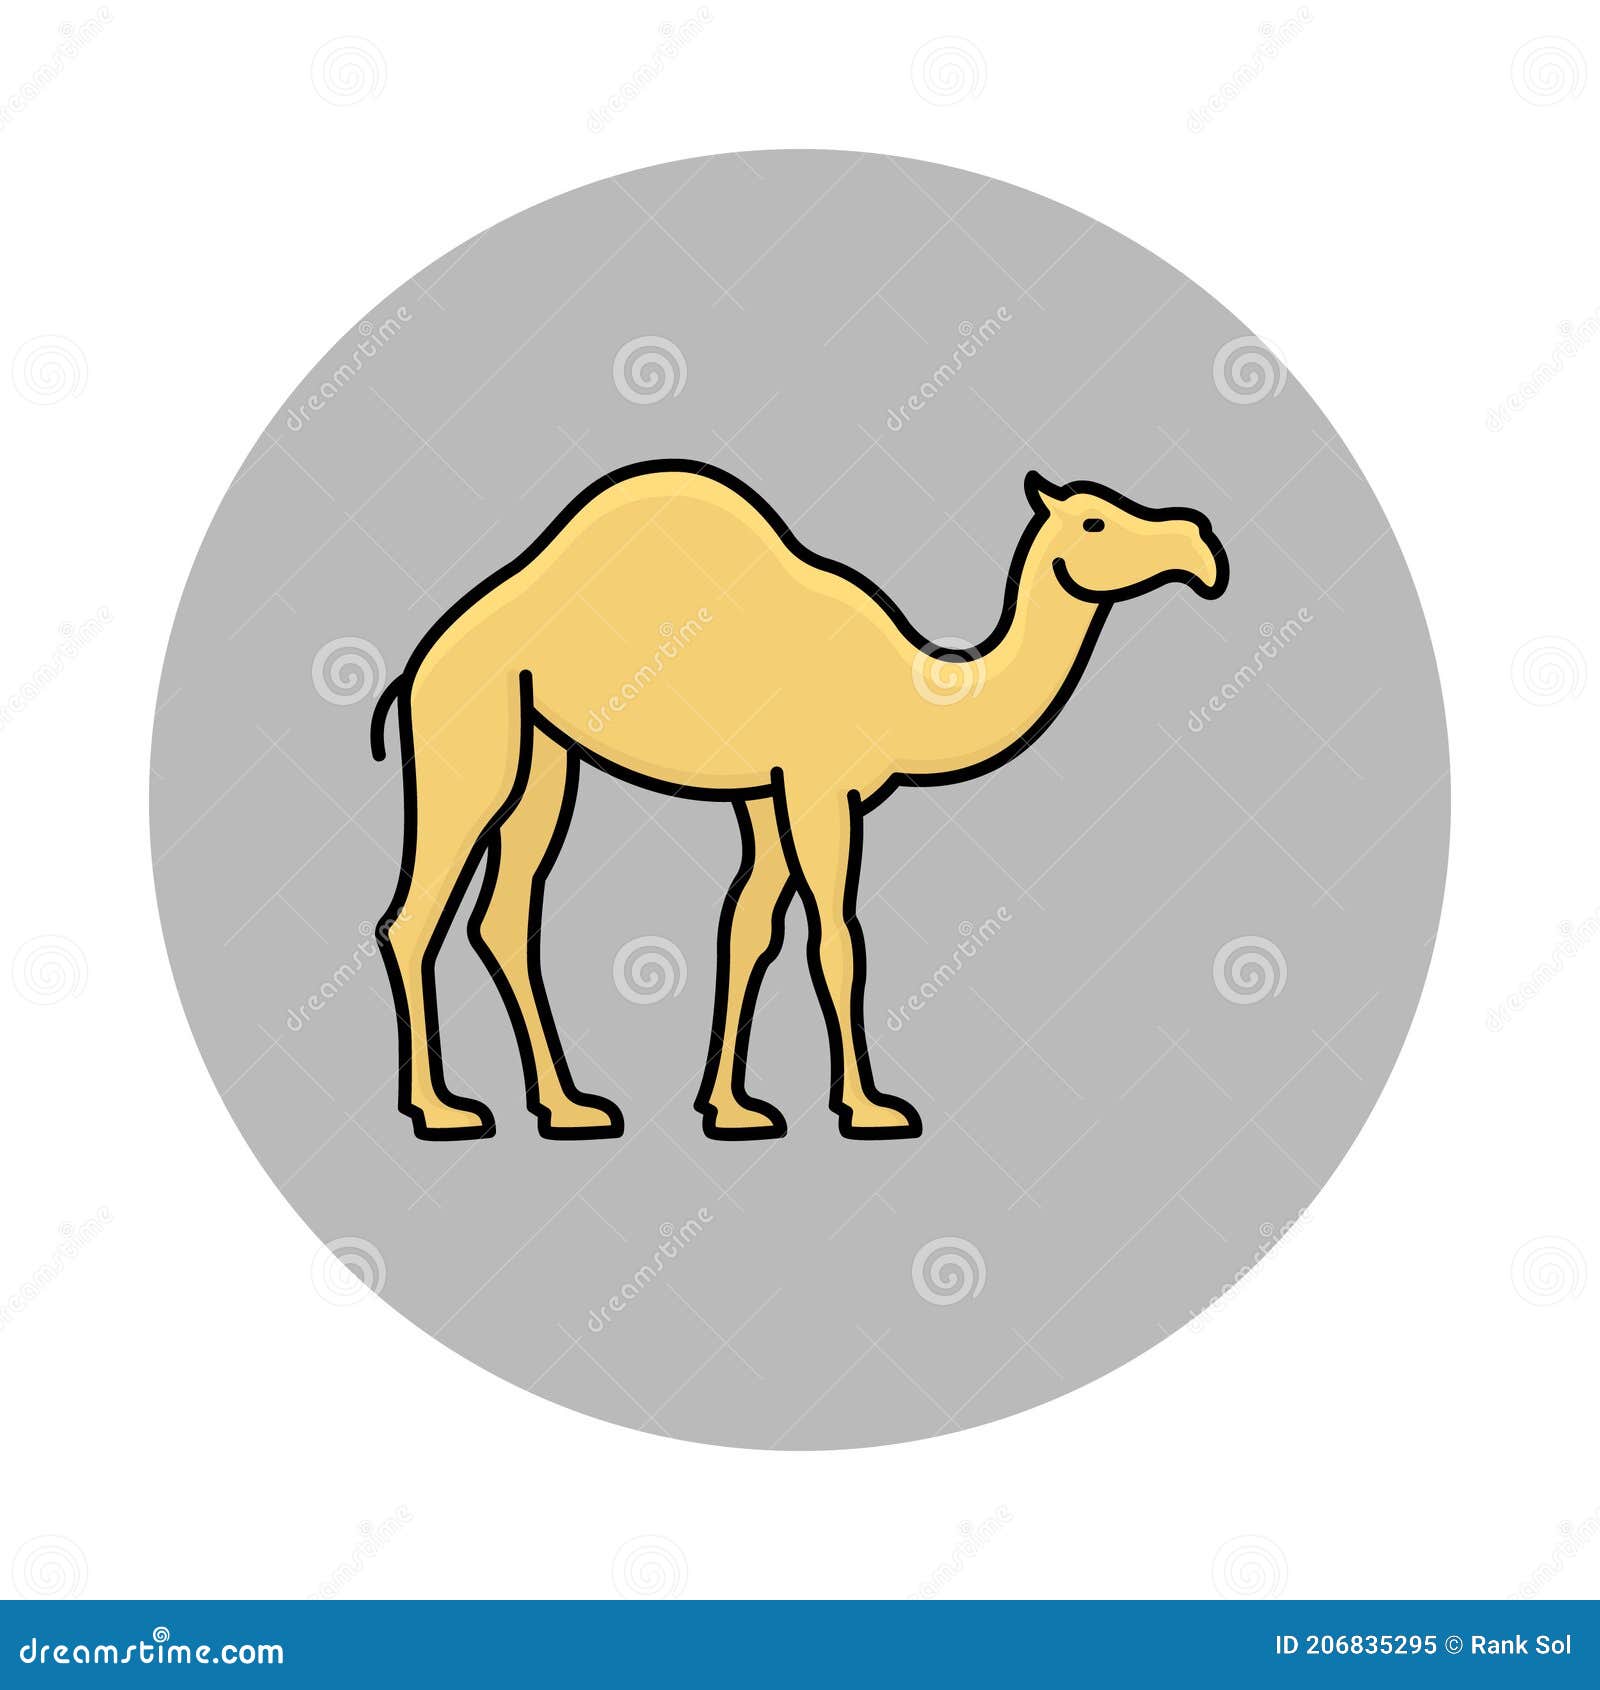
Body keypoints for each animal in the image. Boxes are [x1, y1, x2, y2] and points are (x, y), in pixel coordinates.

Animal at [371, 461, 1228, 1143]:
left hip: (544, 755)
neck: (910, 693)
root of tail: (416, 666)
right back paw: (442, 1111)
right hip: (468, 733)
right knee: (414, 917)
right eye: (1094, 520)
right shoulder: (822, 787)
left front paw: (731, 1109)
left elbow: (748, 930)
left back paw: (568, 1108)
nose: (1201, 546)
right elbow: (837, 941)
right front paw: (869, 1109)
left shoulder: (769, 792)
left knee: (505, 914)